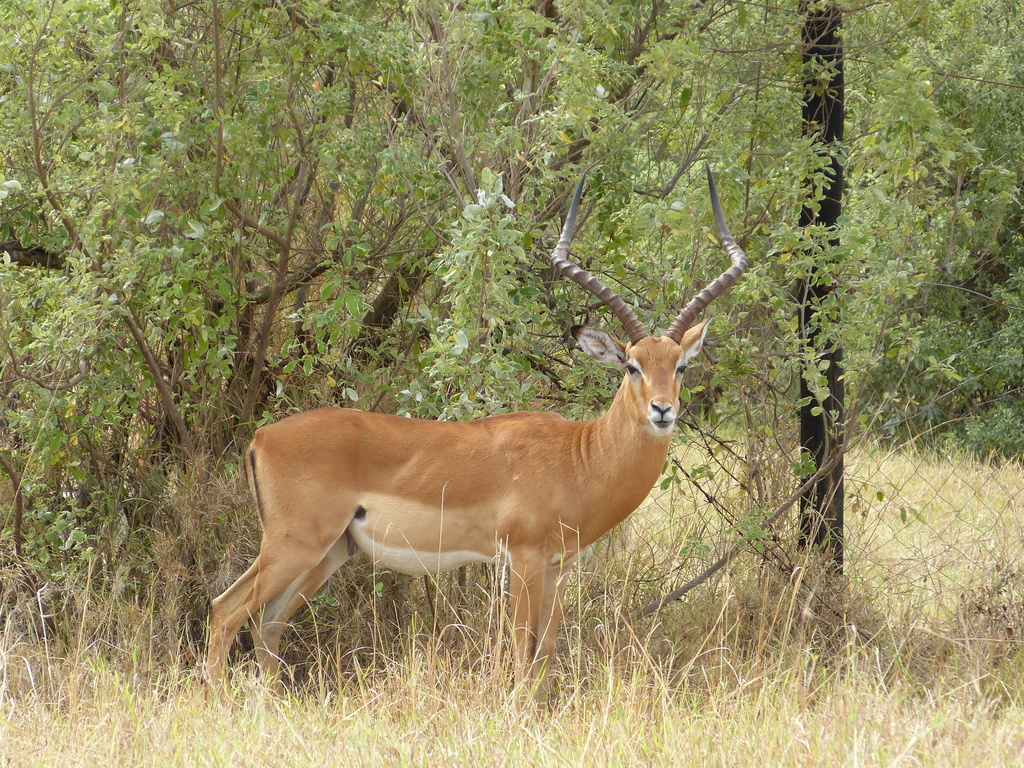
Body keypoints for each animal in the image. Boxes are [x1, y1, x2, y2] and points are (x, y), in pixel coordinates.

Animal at [206, 166, 748, 695]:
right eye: (632, 366)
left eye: (680, 367)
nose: (663, 411)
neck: (579, 458)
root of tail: (260, 438)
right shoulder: (523, 561)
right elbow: (522, 651)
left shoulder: (559, 567)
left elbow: (546, 654)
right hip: (294, 545)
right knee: (225, 610)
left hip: (329, 552)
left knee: (268, 623)